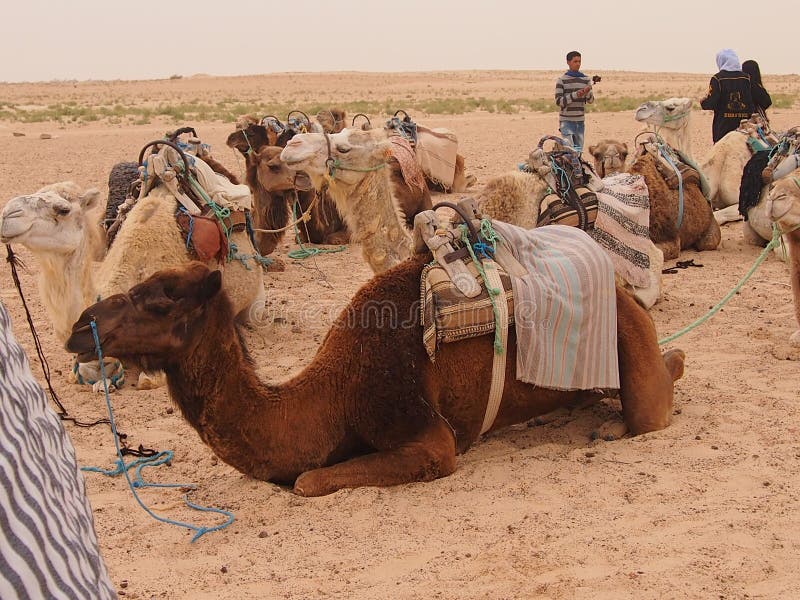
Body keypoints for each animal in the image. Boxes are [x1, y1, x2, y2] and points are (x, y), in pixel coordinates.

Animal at [66, 258, 685, 497]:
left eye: (158, 300)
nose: (79, 326)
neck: (334, 395)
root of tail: (623, 287)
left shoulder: (427, 435)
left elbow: (306, 480)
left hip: (629, 340)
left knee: (650, 407)